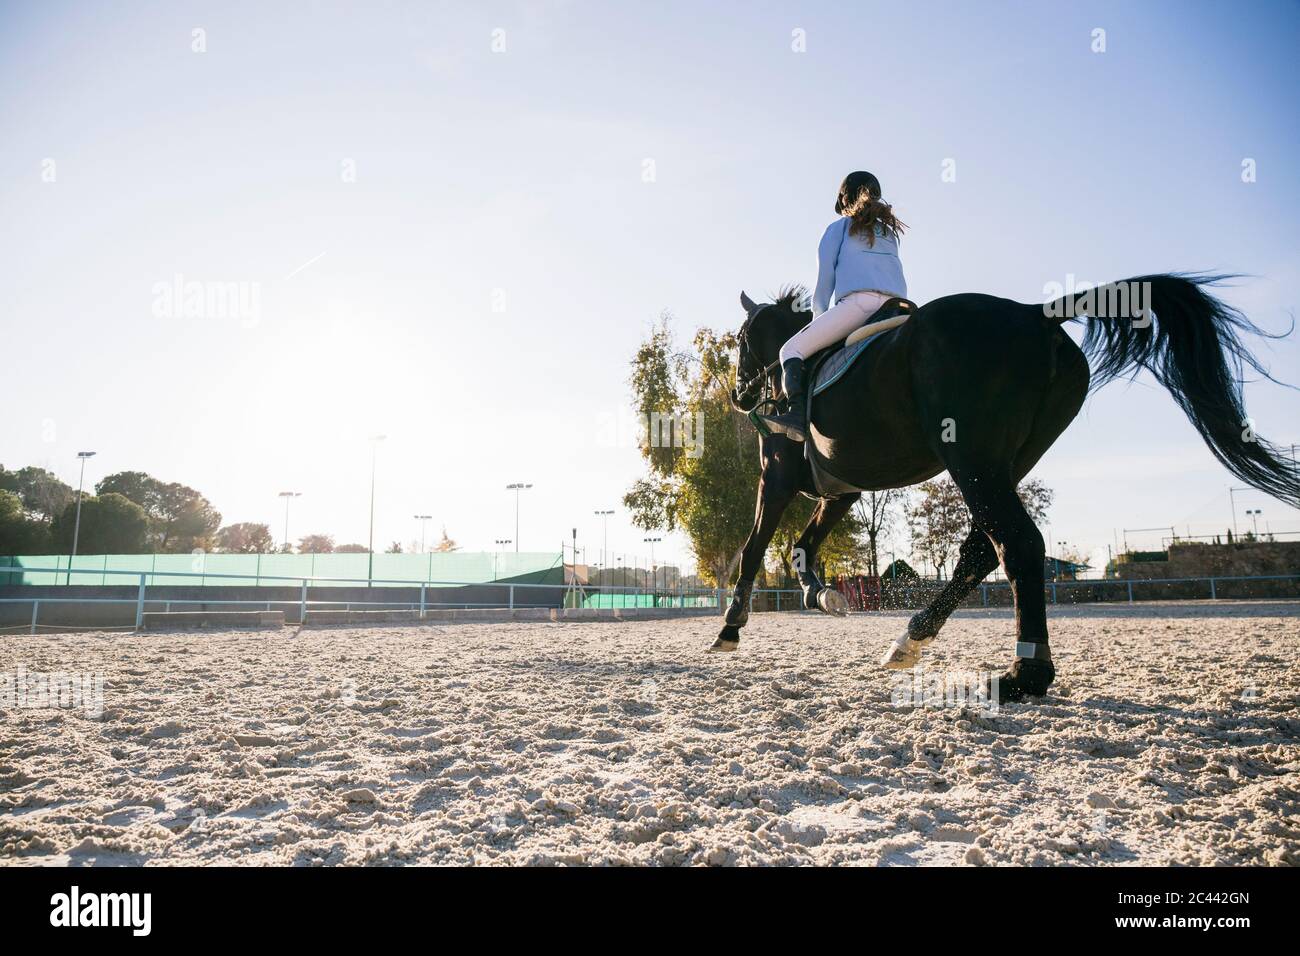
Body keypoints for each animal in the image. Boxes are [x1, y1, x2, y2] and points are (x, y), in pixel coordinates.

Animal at [718, 274, 1299, 702]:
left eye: (741, 342)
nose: (740, 394)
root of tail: (1032, 312)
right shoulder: (842, 490)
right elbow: (802, 545)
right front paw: (819, 593)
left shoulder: (778, 477)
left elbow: (754, 548)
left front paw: (731, 627)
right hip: (1004, 462)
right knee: (983, 550)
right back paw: (911, 640)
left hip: (972, 458)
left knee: (1017, 544)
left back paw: (1023, 675)